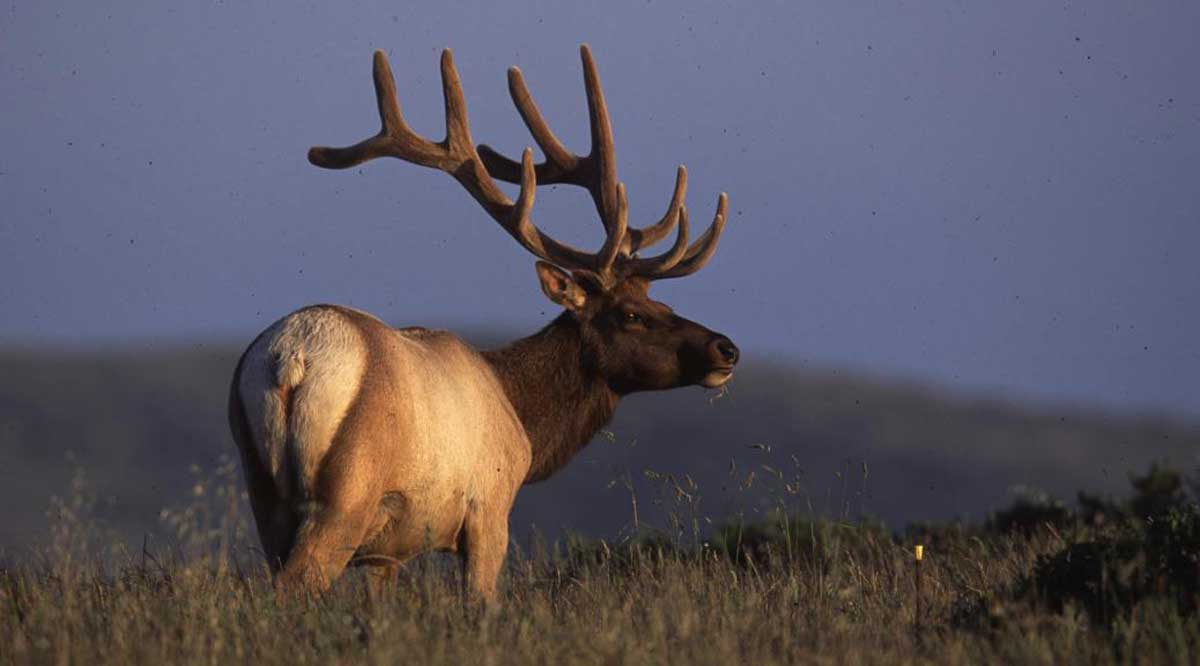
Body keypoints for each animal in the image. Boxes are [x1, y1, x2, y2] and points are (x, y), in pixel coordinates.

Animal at [227, 44, 738, 600]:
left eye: (663, 305)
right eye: (632, 314)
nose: (726, 348)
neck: (524, 422)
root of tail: (291, 360)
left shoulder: (388, 551)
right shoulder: (489, 507)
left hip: (264, 490)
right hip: (345, 493)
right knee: (295, 584)